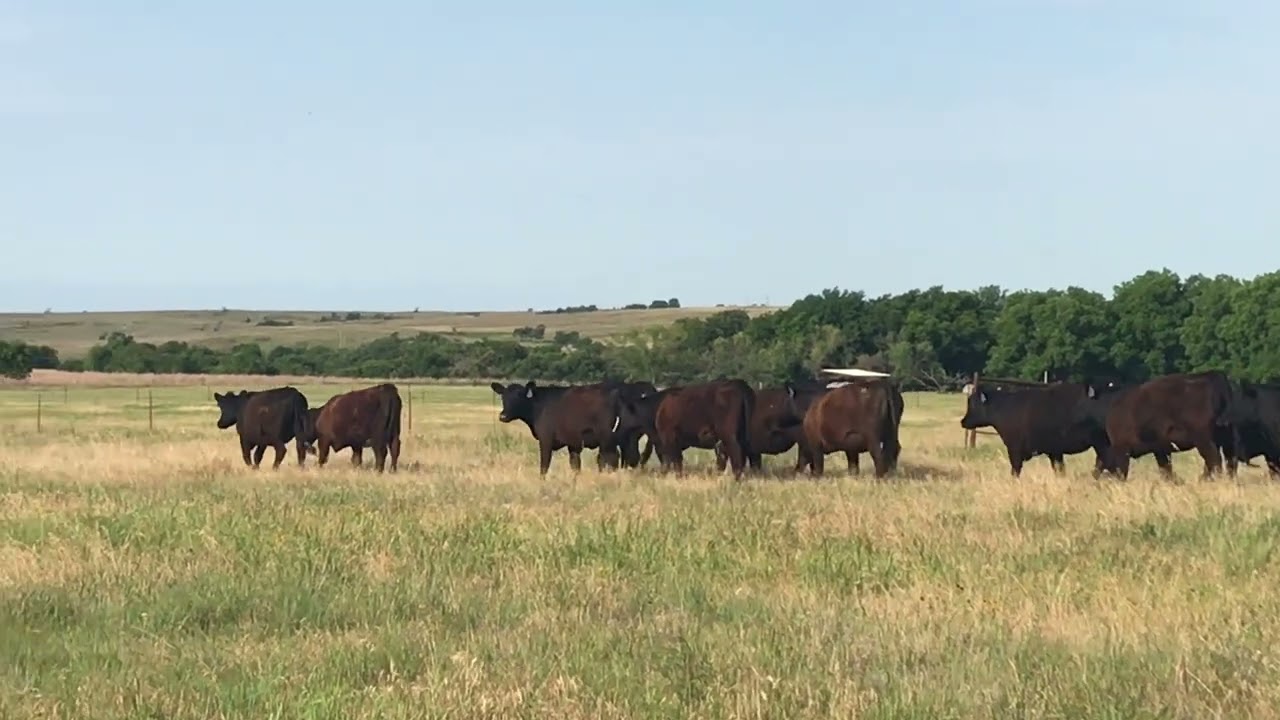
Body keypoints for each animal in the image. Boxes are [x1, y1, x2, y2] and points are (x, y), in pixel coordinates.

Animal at [490, 380, 633, 476]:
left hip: (607, 439)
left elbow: (544, 465)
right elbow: (575, 465)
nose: (503, 416)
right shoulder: (574, 443)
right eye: (503, 397)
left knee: (610, 459)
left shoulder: (546, 439)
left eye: (519, 396)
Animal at [960, 381, 1113, 477]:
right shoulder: (1054, 451)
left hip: (1102, 444)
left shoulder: (1014, 449)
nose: (963, 422)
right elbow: (1059, 469)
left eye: (973, 404)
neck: (1004, 407)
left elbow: (1015, 470)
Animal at [1087, 370, 1240, 481]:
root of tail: (1215, 377)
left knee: (1214, 461)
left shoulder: (1122, 448)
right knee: (1229, 461)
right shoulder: (1160, 449)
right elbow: (1166, 469)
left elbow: (1122, 472)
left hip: (1204, 440)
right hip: (1225, 439)